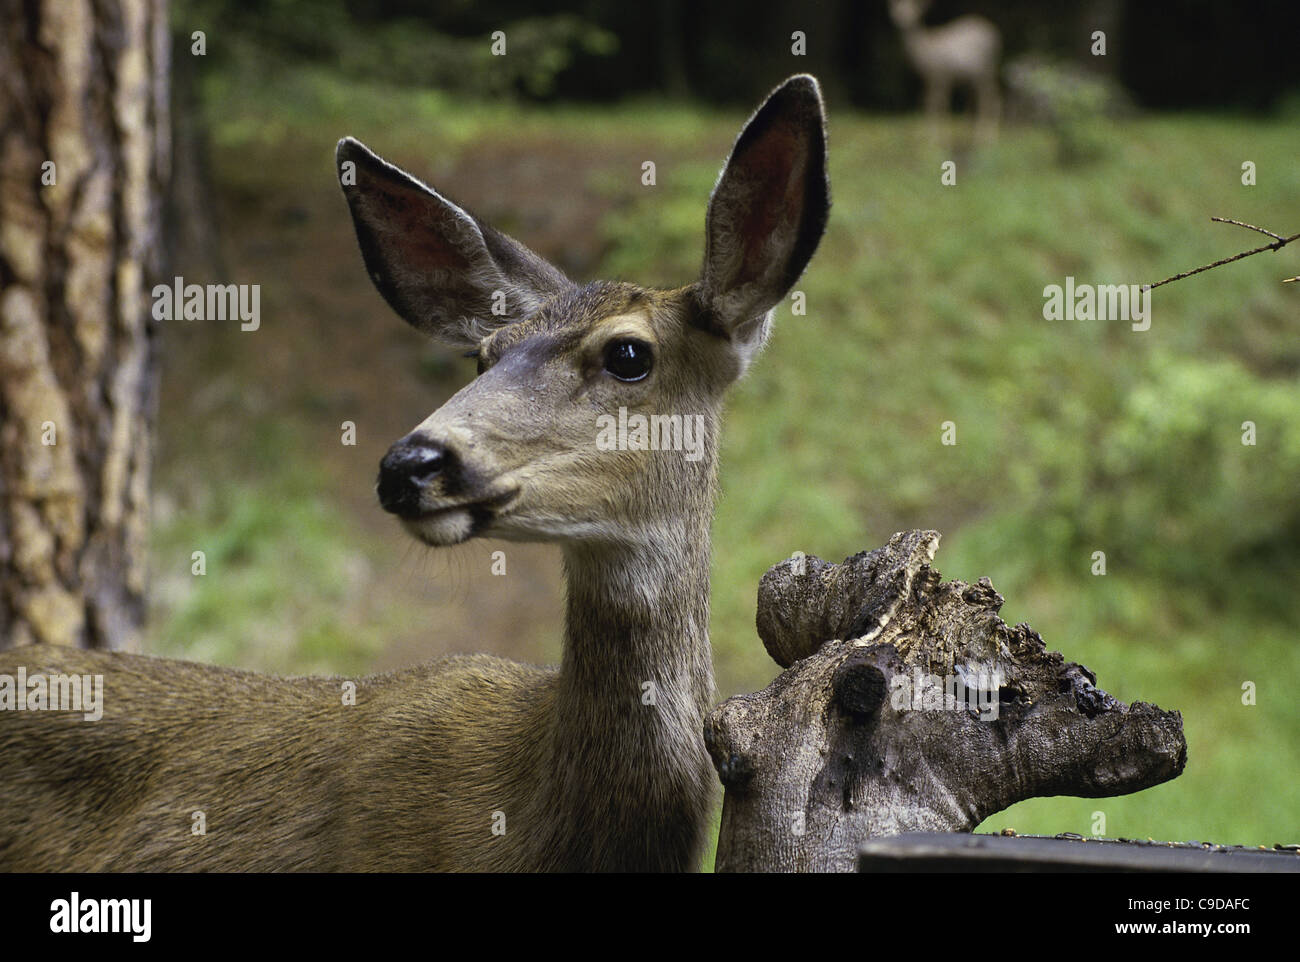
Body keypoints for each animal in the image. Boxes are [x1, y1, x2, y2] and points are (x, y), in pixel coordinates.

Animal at [887, 0, 1001, 140]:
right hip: (972, 78)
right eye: (898, 10)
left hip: (986, 70)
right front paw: (926, 133)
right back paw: (970, 132)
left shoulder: (941, 75)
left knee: (990, 98)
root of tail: (997, 36)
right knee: (976, 99)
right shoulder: (929, 80)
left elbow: (939, 103)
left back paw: (987, 135)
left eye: (914, 11)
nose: (902, 21)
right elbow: (926, 101)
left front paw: (936, 135)